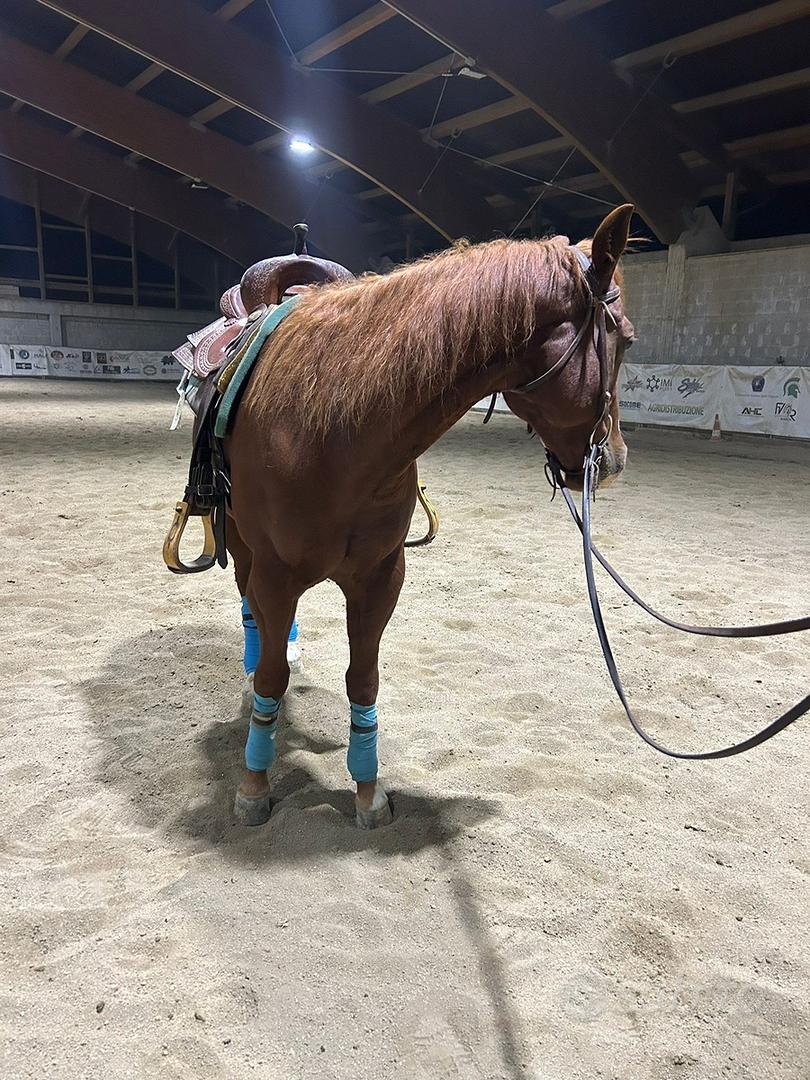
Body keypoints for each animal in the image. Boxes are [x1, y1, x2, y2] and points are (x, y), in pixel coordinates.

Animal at [224, 203, 636, 828]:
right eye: (627, 340)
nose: (614, 458)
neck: (334, 429)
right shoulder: (276, 576)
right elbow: (272, 674)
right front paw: (253, 785)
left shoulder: (379, 578)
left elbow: (363, 680)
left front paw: (368, 791)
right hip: (240, 543)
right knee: (250, 613)